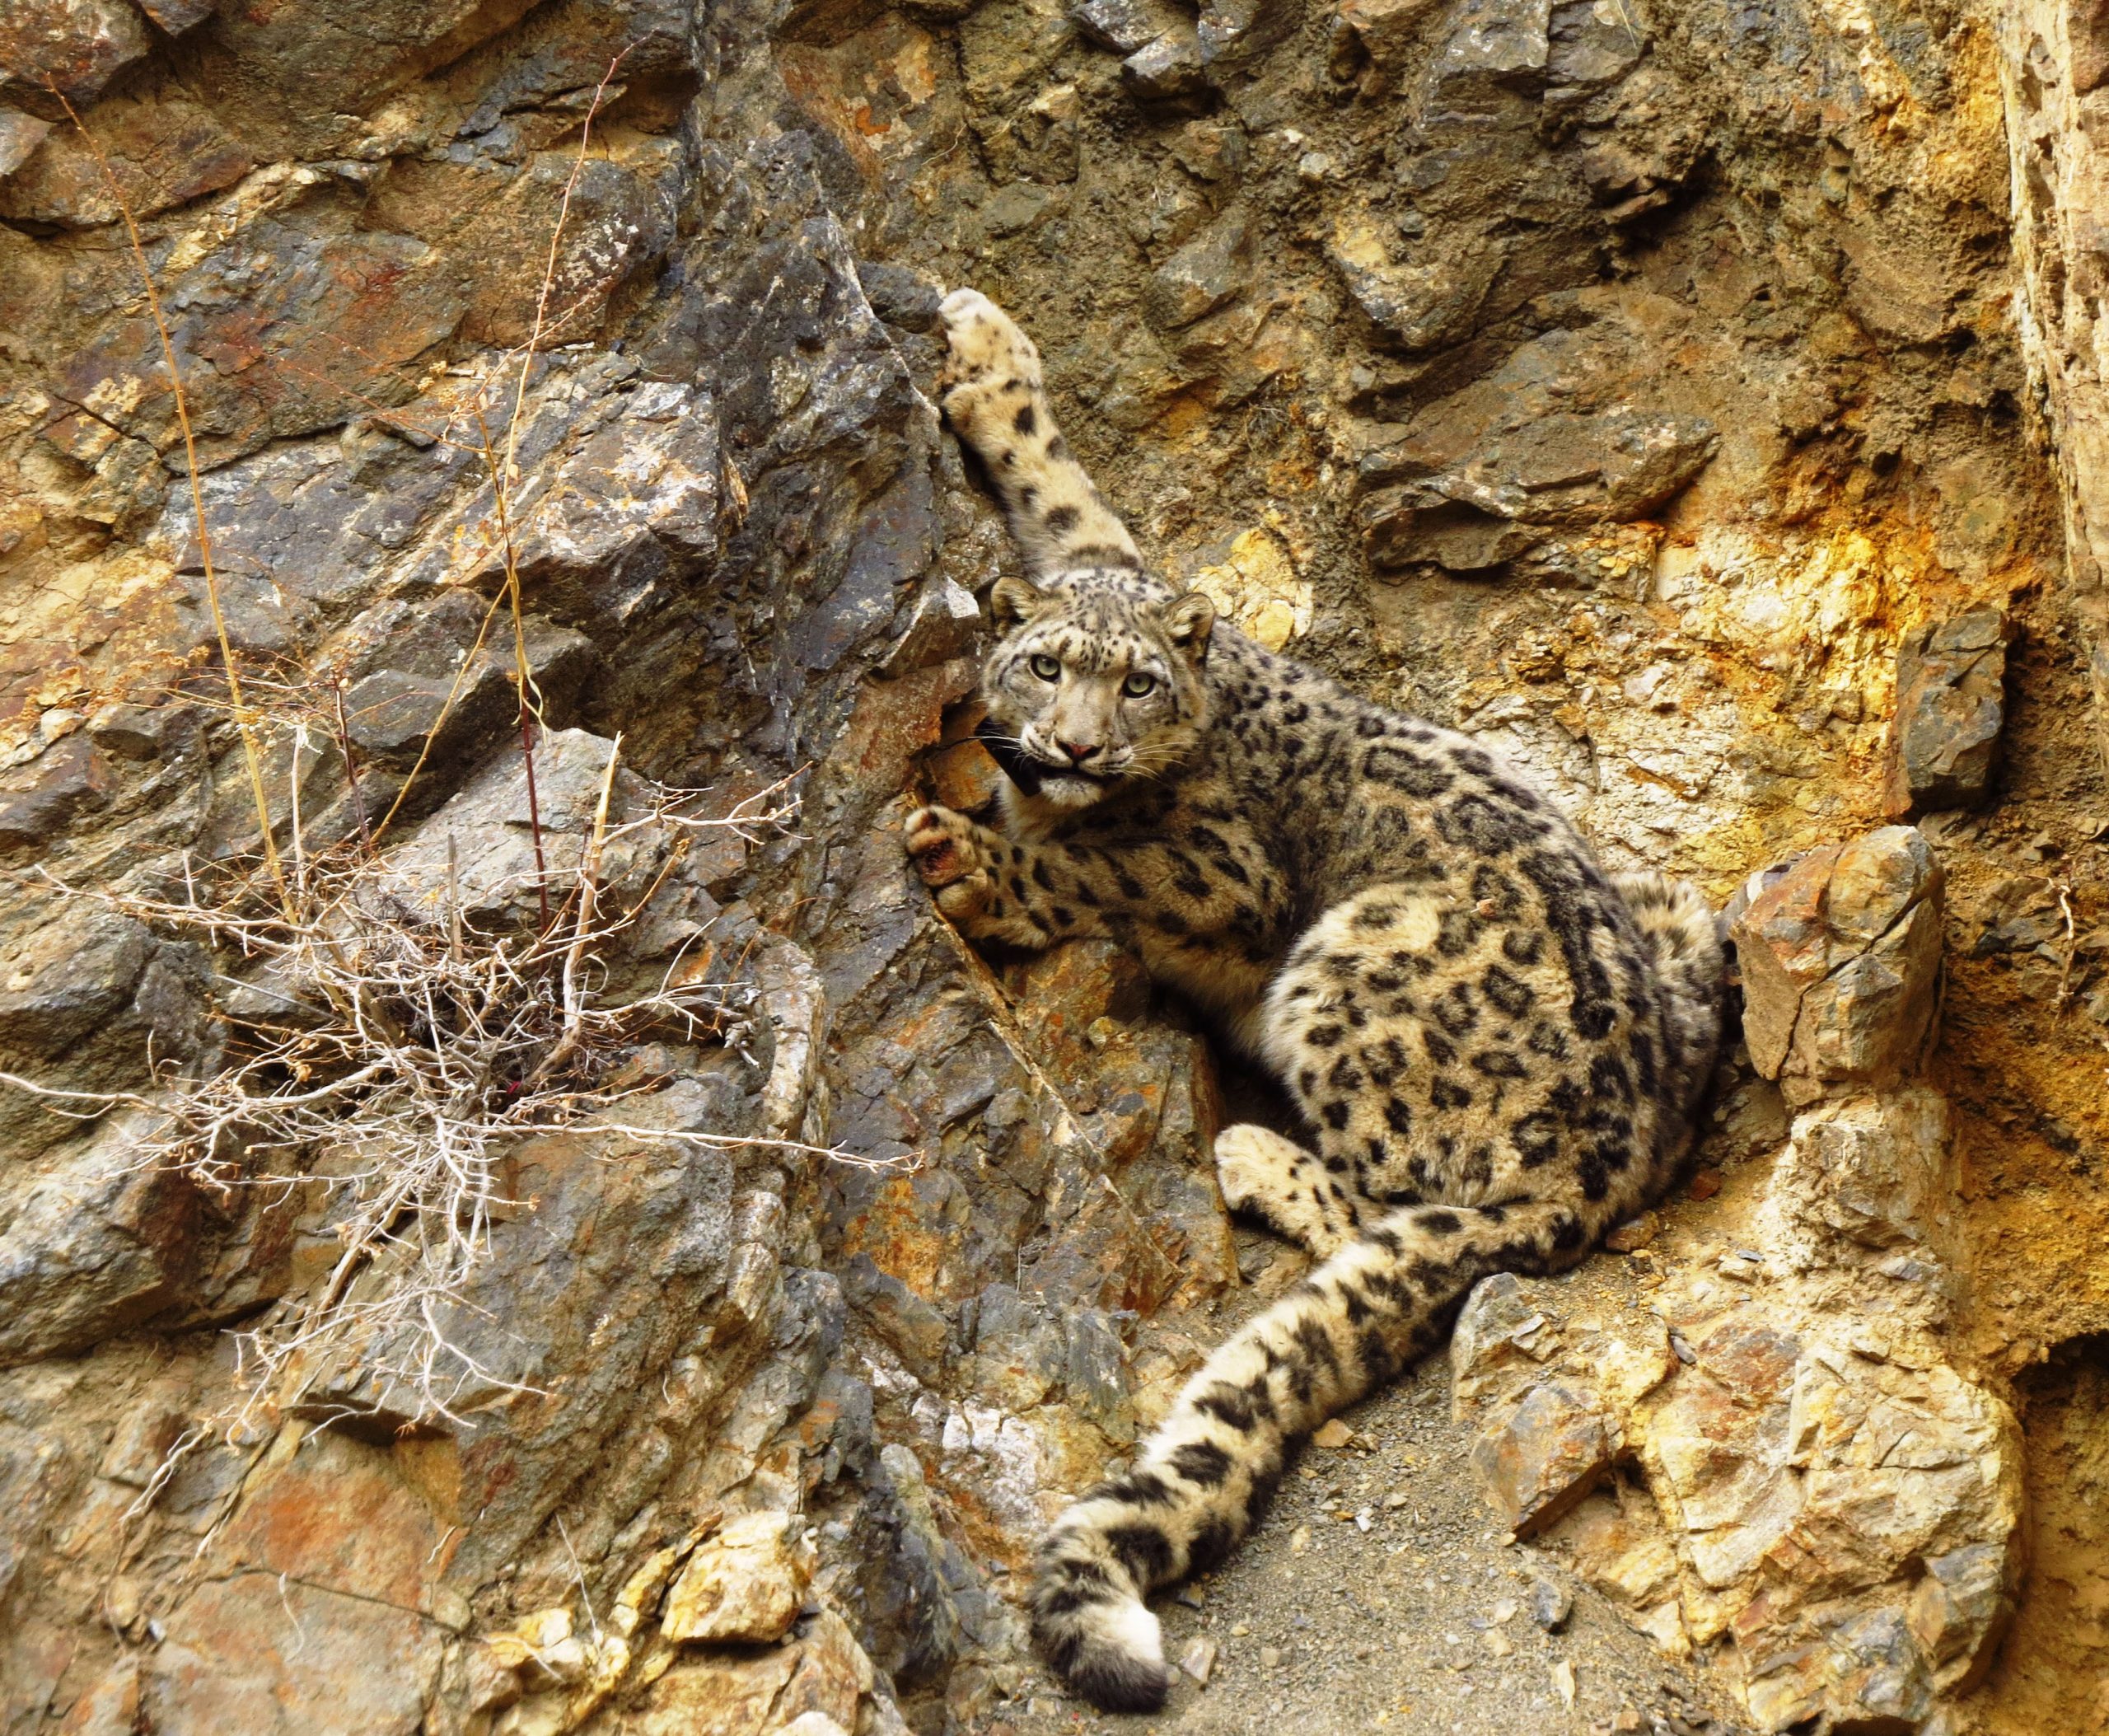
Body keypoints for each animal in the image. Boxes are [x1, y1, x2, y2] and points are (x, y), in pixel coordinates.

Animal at [903, 288, 1727, 1713]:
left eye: (1136, 686)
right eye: (1044, 663)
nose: (1075, 745)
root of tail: (1618, 1149)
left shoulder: (1218, 869)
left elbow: (1097, 860)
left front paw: (983, 860)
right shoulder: (1108, 558)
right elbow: (1072, 500)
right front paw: (986, 351)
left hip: (1351, 961)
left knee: (1389, 1203)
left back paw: (1252, 1154)